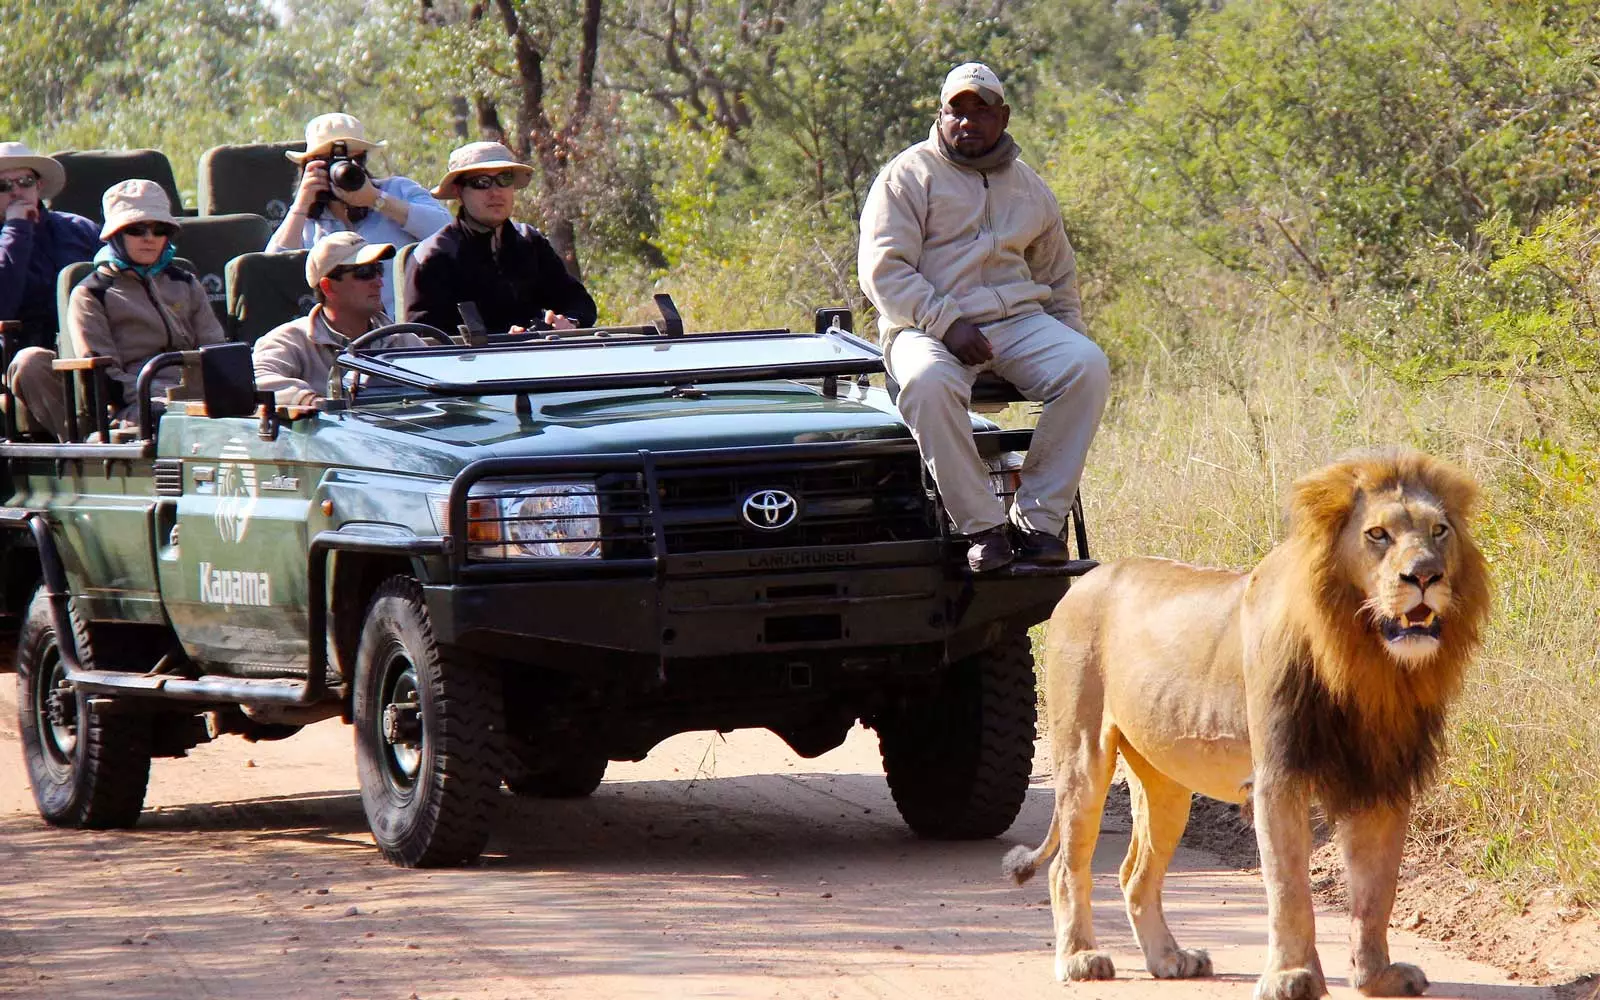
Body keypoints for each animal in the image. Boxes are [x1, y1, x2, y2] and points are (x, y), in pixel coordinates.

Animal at [1004, 454, 1491, 998]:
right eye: (1378, 534)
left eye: (1439, 531)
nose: (1425, 575)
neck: (1365, 659)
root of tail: (1086, 578)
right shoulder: (1278, 776)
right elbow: (1289, 888)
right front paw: (1292, 976)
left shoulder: (1380, 779)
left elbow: (1376, 889)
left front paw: (1377, 975)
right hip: (1083, 755)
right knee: (1065, 866)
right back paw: (1080, 957)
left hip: (1165, 783)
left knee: (1135, 873)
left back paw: (1170, 959)